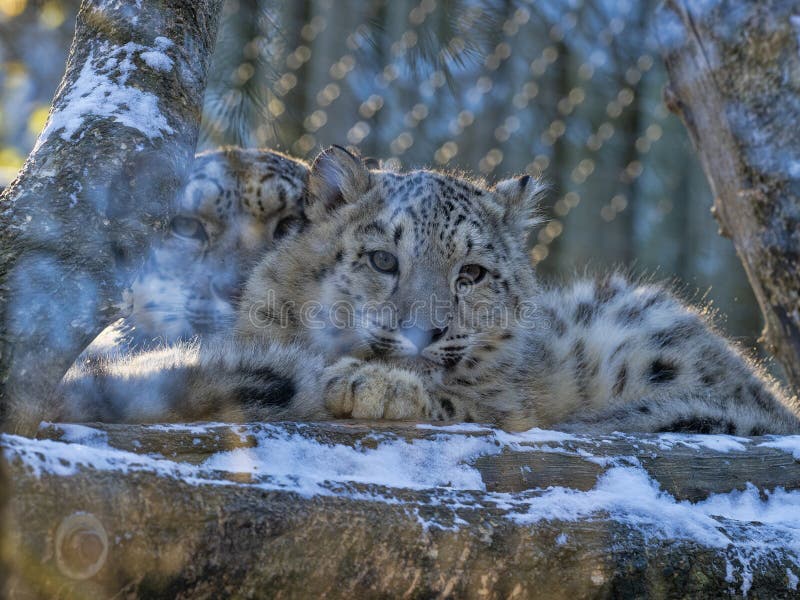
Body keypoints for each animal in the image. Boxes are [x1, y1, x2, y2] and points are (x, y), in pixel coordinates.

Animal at [53, 146, 800, 435]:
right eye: (383, 259)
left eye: (471, 273)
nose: (427, 330)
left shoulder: (508, 400)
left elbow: (464, 398)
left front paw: (371, 385)